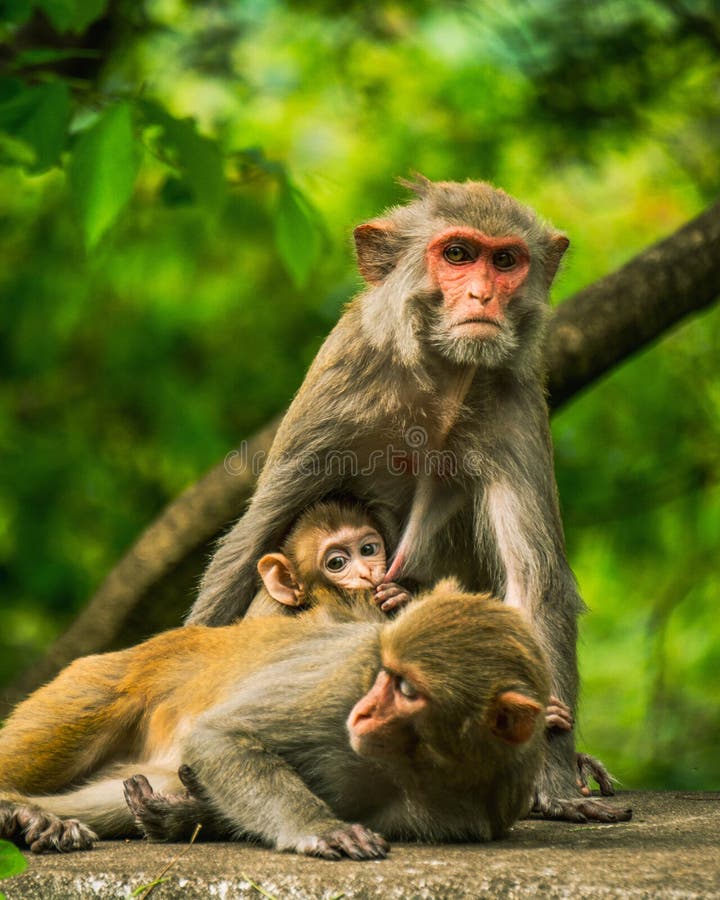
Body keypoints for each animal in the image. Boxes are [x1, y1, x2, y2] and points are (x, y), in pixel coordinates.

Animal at [0, 582, 615, 858]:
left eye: (407, 689)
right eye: (384, 673)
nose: (365, 710)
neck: (420, 761)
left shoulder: (472, 809)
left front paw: (181, 816)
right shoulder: (343, 677)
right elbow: (221, 737)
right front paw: (321, 828)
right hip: (106, 678)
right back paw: (23, 811)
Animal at [188, 177, 627, 822]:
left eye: (505, 261)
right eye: (457, 255)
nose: (482, 295)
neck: (441, 374)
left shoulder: (514, 398)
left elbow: (533, 581)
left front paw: (551, 781)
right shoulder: (341, 383)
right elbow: (250, 546)